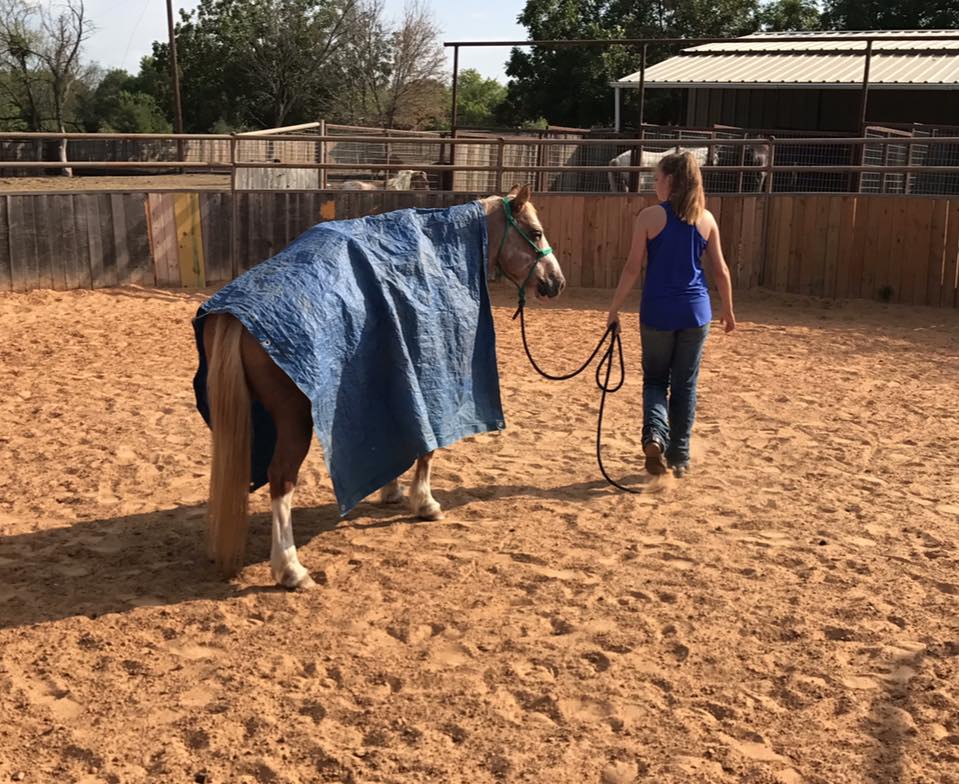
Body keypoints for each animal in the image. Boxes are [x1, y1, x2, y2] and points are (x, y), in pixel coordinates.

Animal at [199, 185, 565, 590]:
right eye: (535, 233)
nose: (556, 282)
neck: (441, 251)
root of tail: (236, 315)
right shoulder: (425, 380)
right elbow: (427, 447)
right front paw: (425, 503)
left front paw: (391, 490)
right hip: (294, 421)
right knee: (281, 479)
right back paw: (290, 569)